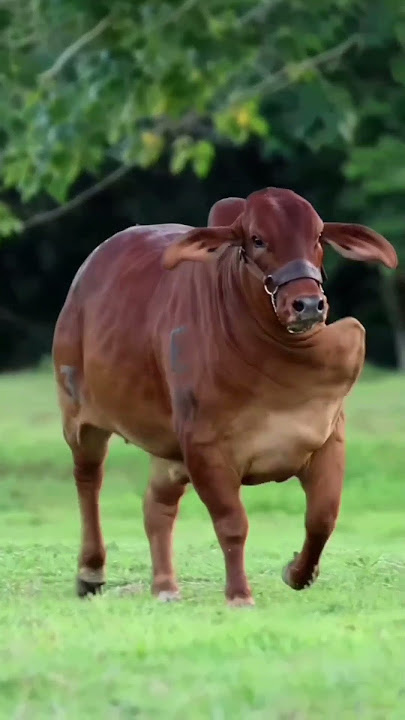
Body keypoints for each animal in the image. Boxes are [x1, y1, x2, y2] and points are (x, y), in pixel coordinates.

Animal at [52, 187, 397, 606]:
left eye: (317, 237)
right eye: (257, 239)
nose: (308, 304)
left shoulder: (328, 437)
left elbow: (322, 517)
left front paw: (297, 573)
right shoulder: (205, 449)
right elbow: (232, 523)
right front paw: (239, 594)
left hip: (169, 451)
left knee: (156, 505)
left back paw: (165, 586)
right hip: (80, 419)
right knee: (88, 482)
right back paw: (90, 571)